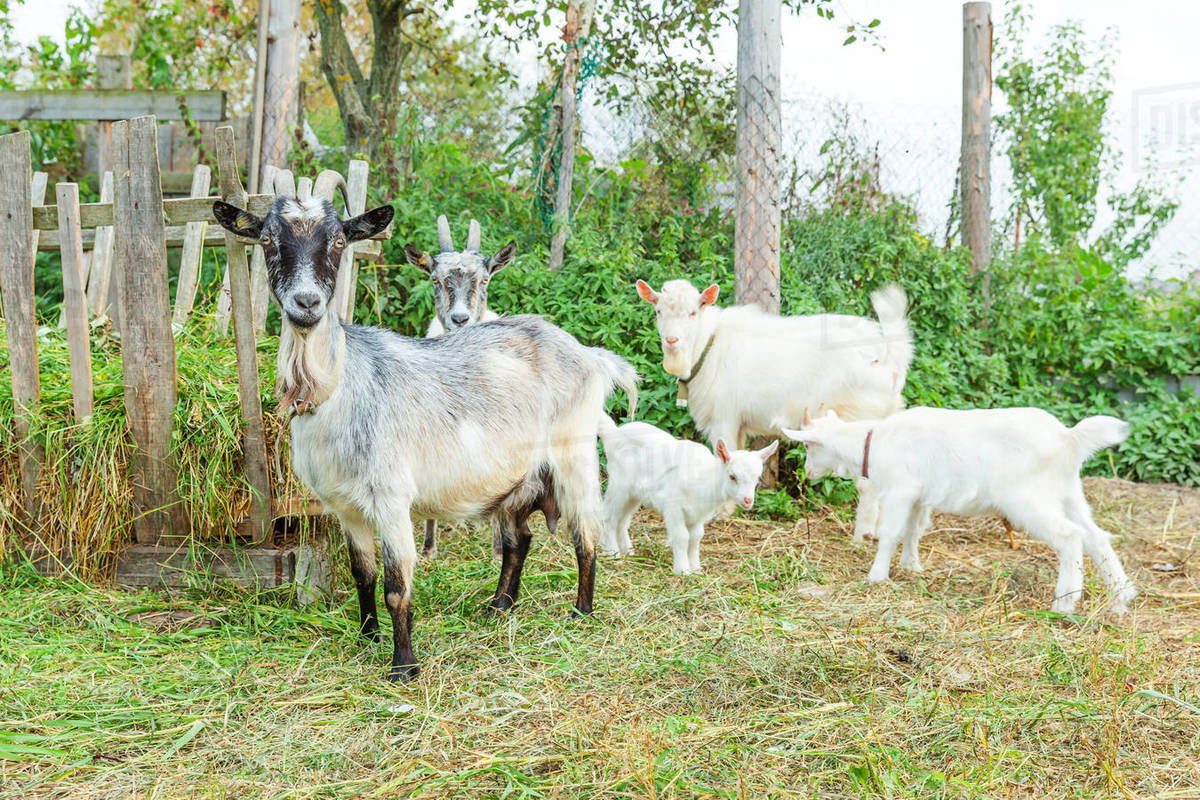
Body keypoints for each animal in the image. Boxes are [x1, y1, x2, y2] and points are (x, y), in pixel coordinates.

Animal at [598, 416, 778, 573]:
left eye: (757, 478)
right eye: (732, 476)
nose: (748, 500)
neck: (705, 478)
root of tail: (613, 434)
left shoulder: (697, 515)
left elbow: (696, 538)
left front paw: (696, 569)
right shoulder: (673, 507)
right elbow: (682, 537)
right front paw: (683, 571)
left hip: (634, 494)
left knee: (622, 520)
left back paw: (627, 552)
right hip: (620, 485)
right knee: (609, 517)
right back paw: (613, 555)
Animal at [635, 279, 913, 544]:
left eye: (693, 312)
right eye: (659, 311)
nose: (672, 341)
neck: (708, 345)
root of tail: (887, 356)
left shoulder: (724, 417)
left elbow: (724, 455)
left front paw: (721, 512)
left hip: (859, 423)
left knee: (869, 483)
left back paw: (863, 534)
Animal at [783, 407, 1138, 614]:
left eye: (809, 445)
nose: (809, 472)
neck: (874, 441)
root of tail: (1067, 438)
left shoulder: (900, 490)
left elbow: (891, 533)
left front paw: (877, 575)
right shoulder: (918, 496)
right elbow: (913, 530)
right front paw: (912, 566)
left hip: (1027, 499)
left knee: (1069, 536)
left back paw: (1064, 601)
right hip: (1067, 492)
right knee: (1096, 536)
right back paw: (1120, 598)